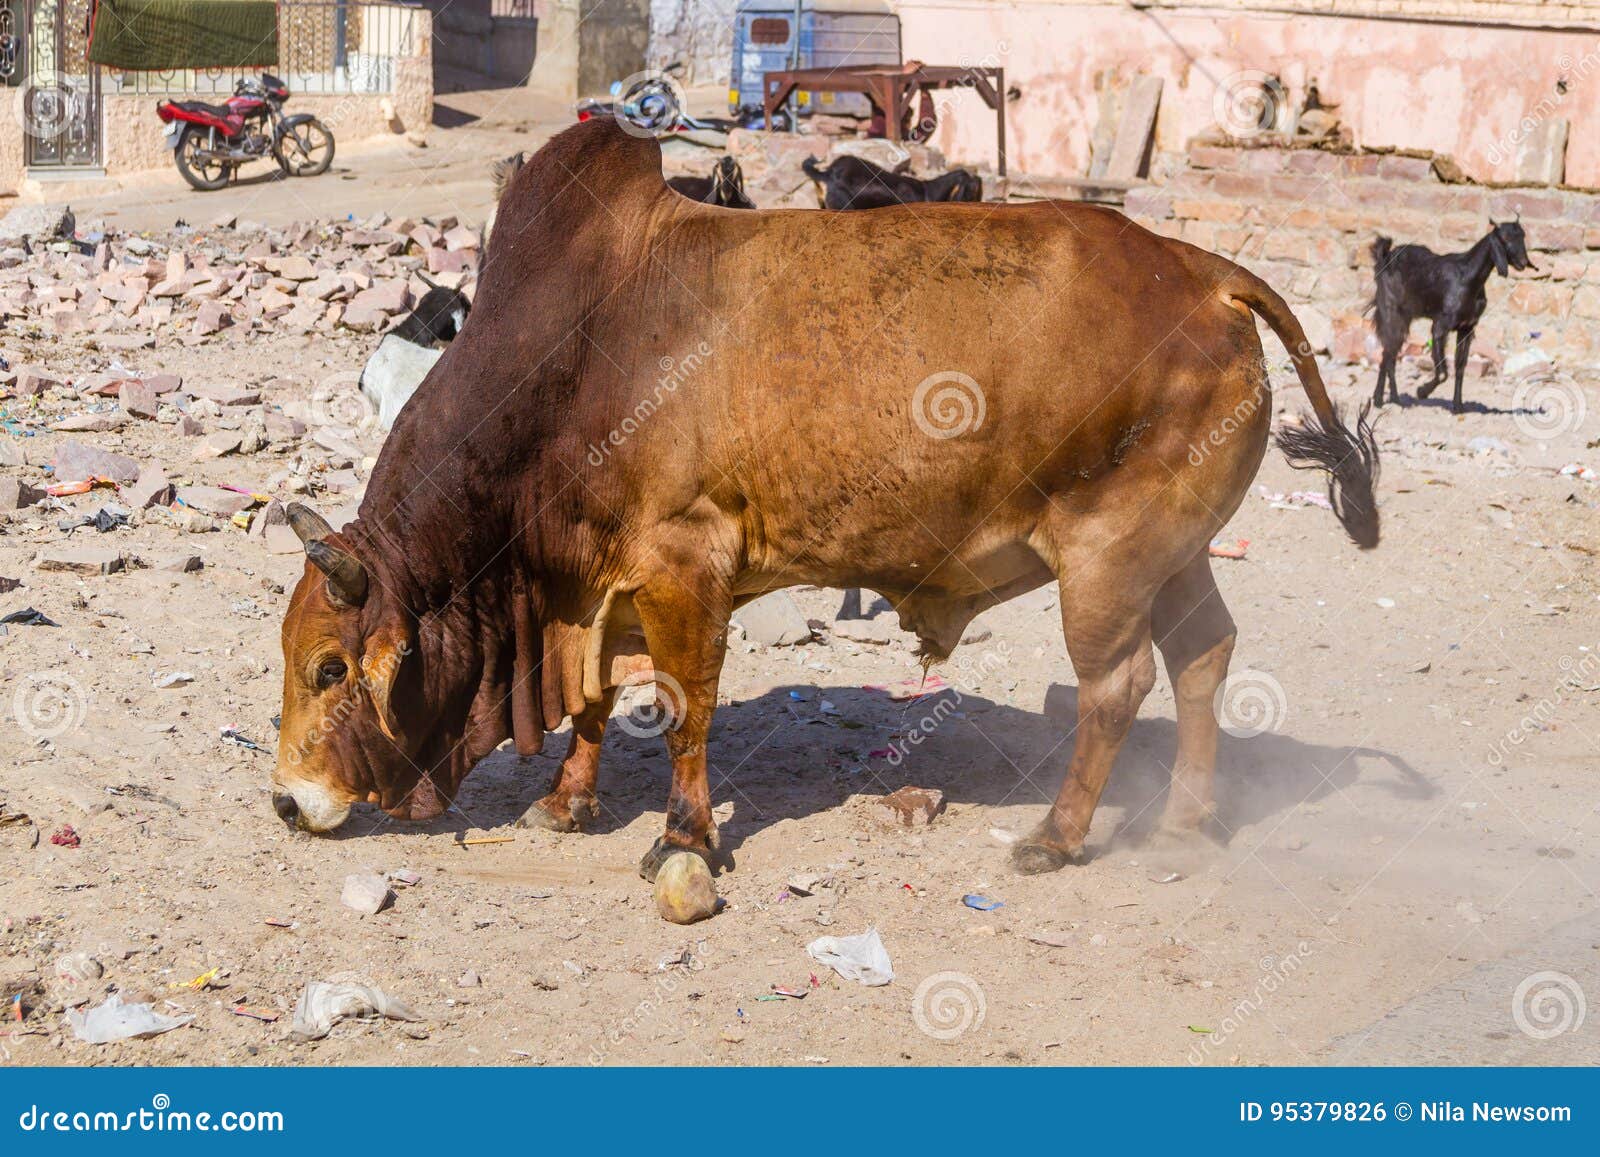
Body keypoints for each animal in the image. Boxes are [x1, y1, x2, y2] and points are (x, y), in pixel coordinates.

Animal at [272, 116, 1378, 892]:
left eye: (332, 667)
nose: (285, 803)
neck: (576, 355)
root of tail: (1209, 275)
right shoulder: (597, 585)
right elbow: (594, 703)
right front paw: (568, 800)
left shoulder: (686, 568)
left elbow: (685, 712)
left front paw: (683, 836)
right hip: (1173, 554)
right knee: (1203, 658)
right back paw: (1186, 818)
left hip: (1107, 558)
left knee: (1119, 686)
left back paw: (1058, 837)